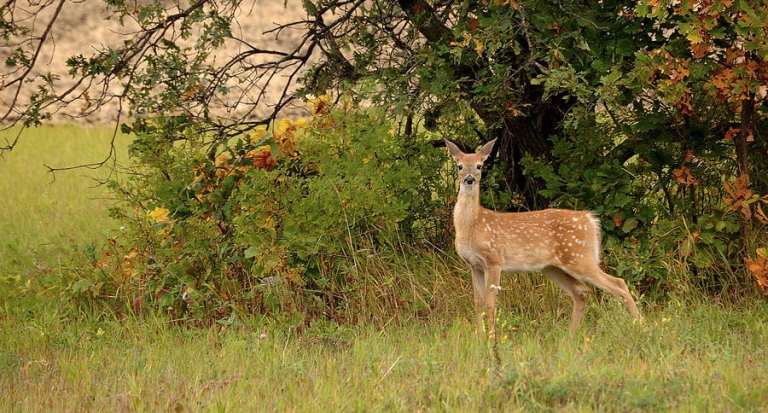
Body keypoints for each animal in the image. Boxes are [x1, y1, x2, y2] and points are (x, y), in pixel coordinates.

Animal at [444, 138, 642, 342]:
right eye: (459, 166)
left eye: (479, 165)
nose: (469, 179)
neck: (472, 225)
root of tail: (590, 219)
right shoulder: (473, 264)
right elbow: (478, 302)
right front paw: (479, 338)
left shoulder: (494, 259)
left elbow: (491, 302)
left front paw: (492, 340)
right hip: (553, 268)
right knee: (581, 293)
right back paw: (569, 338)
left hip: (580, 257)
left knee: (618, 283)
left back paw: (641, 328)